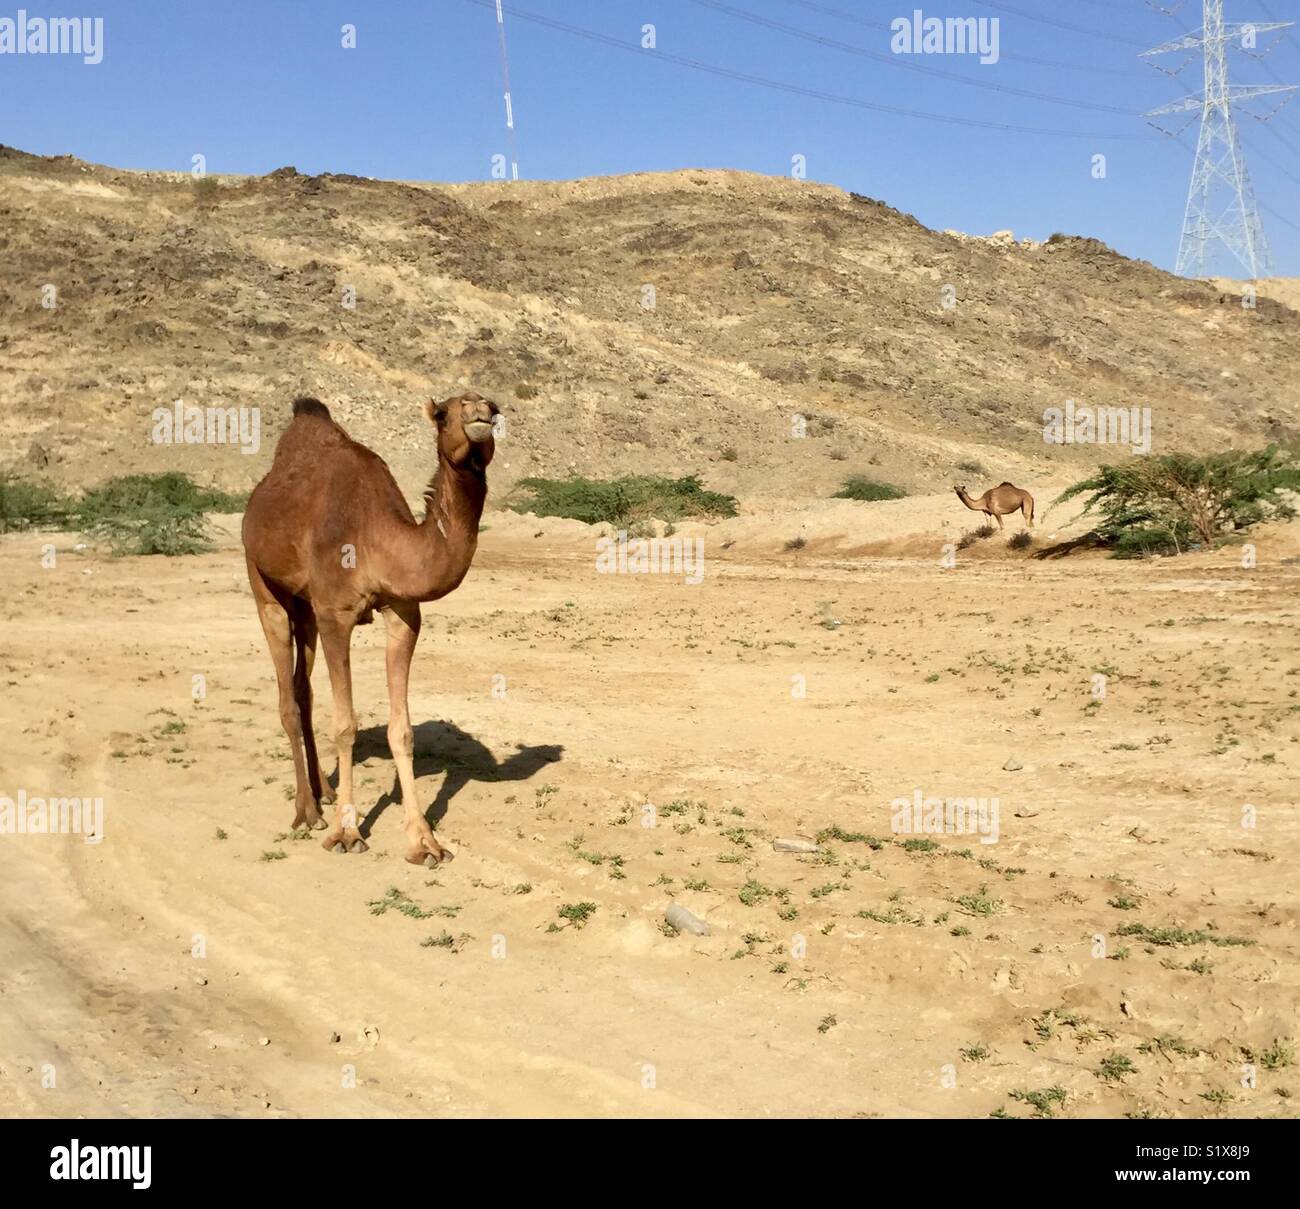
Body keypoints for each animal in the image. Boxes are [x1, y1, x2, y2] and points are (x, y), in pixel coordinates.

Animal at [241, 392, 498, 866]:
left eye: (496, 406)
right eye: (443, 414)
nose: (481, 413)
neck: (380, 540)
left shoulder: (403, 614)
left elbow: (403, 730)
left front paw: (424, 842)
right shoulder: (336, 614)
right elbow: (346, 724)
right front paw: (346, 832)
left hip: (306, 609)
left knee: (303, 693)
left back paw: (323, 791)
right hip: (264, 583)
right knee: (287, 697)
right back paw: (308, 811)